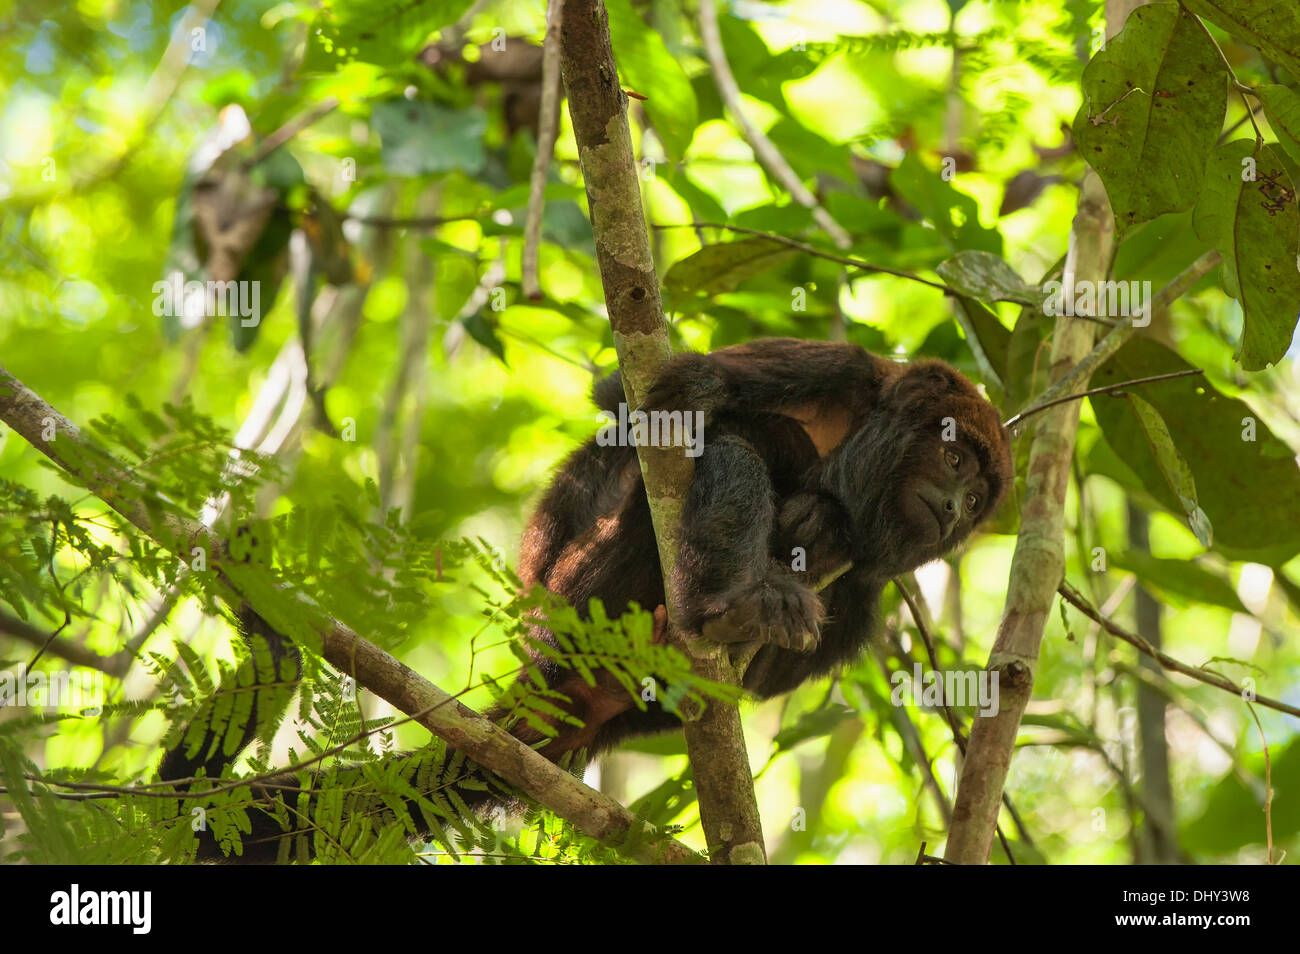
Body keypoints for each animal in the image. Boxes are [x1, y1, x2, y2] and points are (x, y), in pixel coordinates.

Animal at [160, 337, 1011, 862]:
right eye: (953, 457)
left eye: (978, 495)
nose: (957, 511)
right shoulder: (834, 365)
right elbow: (637, 401)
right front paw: (705, 393)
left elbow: (837, 616)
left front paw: (823, 531)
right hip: (584, 588)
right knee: (742, 442)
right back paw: (735, 590)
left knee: (841, 592)